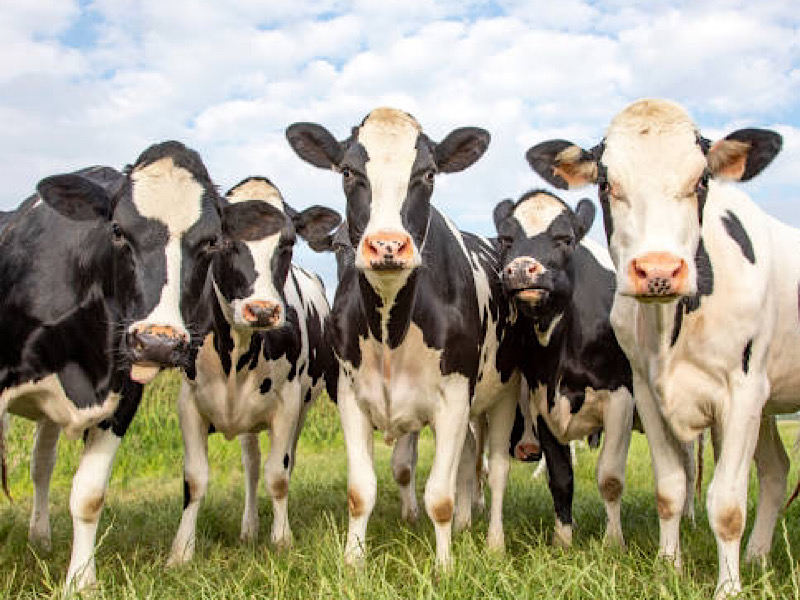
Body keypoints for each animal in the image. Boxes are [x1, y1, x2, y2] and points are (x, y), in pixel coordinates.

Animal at [0, 141, 262, 591]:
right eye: (118, 232)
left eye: (211, 241)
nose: (158, 342)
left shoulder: (123, 397)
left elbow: (89, 495)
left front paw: (81, 583)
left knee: (41, 464)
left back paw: (41, 538)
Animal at [167, 176, 340, 565]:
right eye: (220, 240)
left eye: (288, 242)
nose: (261, 311)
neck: (236, 355)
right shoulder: (189, 402)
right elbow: (194, 478)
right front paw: (181, 551)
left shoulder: (288, 402)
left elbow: (278, 474)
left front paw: (282, 539)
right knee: (251, 466)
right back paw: (248, 529)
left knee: (279, 463)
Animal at [286, 108, 520, 567]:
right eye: (348, 171)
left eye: (428, 174)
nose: (387, 245)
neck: (390, 329)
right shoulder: (350, 396)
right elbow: (361, 491)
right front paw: (353, 563)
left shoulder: (454, 397)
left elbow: (440, 496)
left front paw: (445, 567)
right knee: (470, 456)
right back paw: (466, 523)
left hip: (504, 392)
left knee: (497, 468)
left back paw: (494, 541)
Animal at [527, 98, 788, 598]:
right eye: (607, 183)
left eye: (701, 180)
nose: (659, 270)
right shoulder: (643, 392)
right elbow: (668, 486)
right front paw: (668, 567)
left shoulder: (741, 392)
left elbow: (726, 503)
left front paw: (728, 587)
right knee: (772, 470)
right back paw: (758, 555)